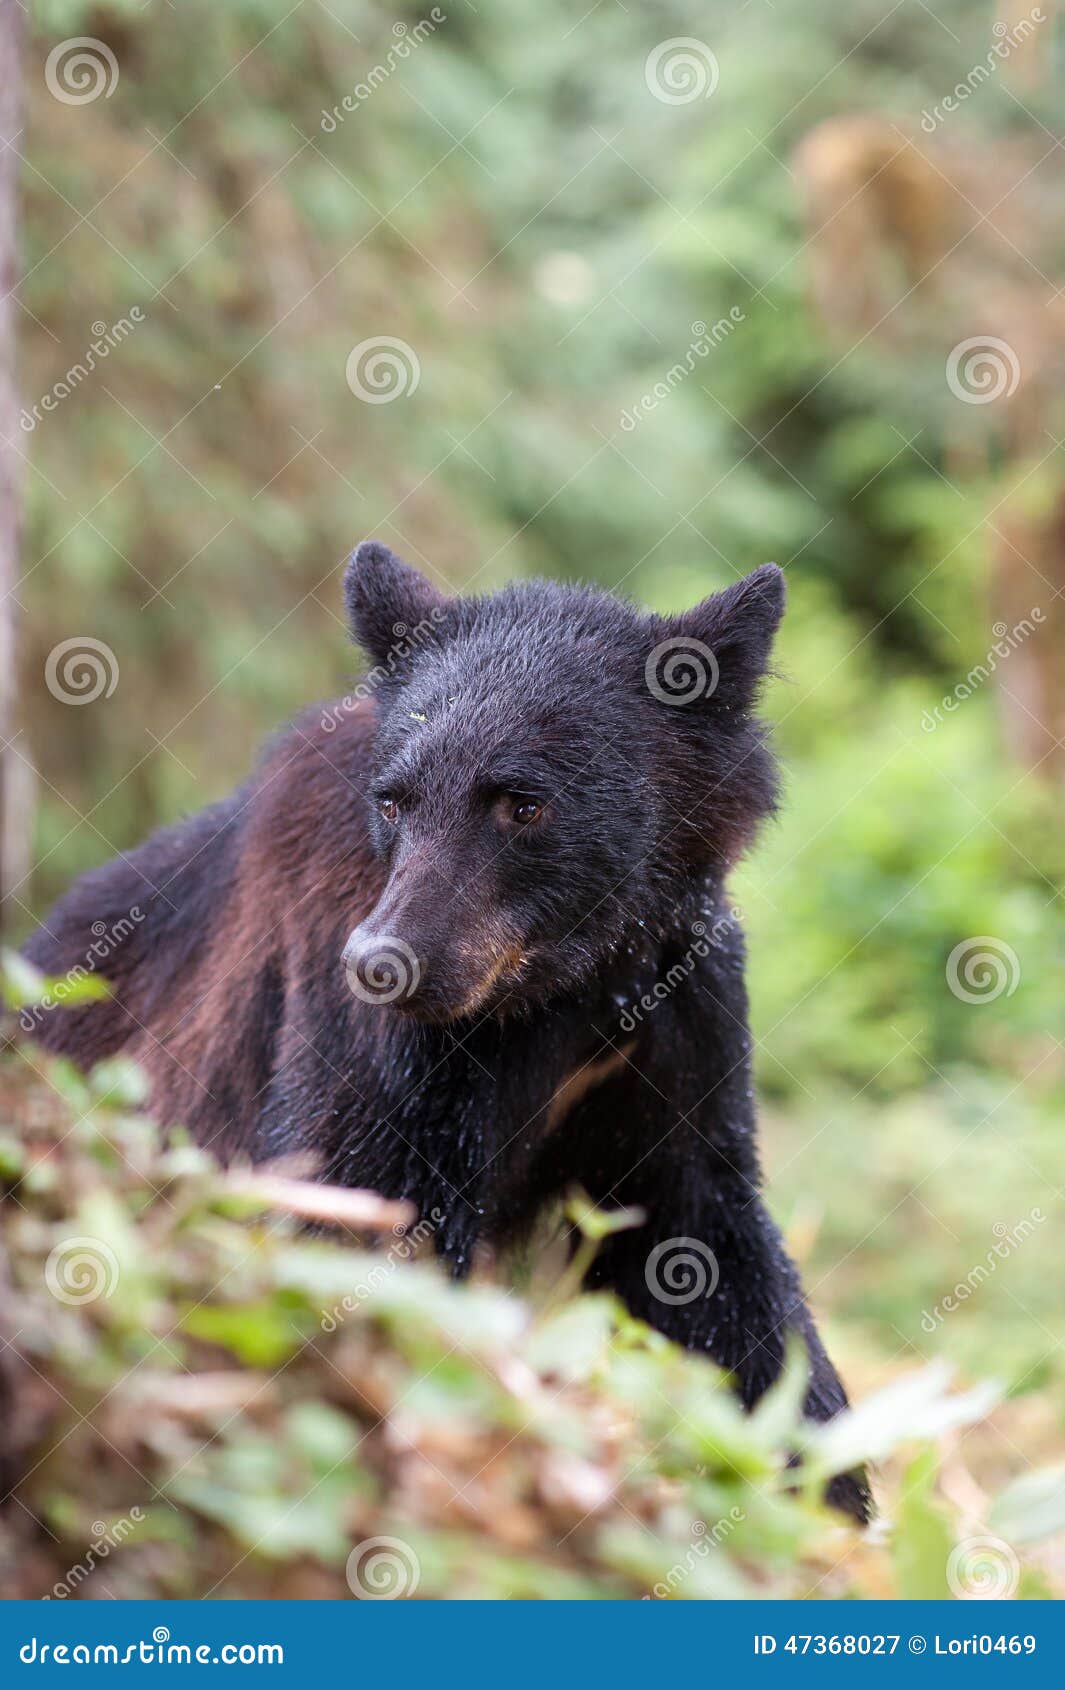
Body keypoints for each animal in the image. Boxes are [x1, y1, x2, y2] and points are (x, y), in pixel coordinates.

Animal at [22, 541, 870, 1521]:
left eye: (522, 803)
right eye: (395, 801)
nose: (381, 962)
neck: (562, 988)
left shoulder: (675, 1016)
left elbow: (707, 1252)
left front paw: (830, 1486)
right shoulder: (372, 1028)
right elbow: (360, 1200)